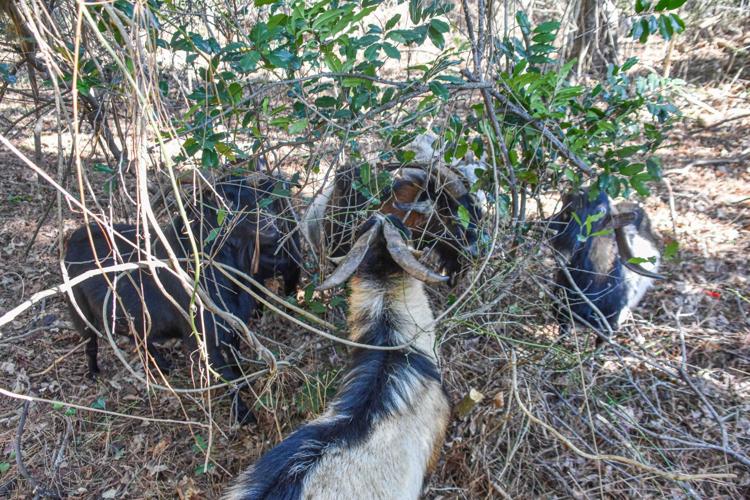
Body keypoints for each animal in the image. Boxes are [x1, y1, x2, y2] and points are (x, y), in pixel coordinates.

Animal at [63, 174, 301, 425]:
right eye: (227, 200)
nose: (270, 219)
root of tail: (72, 238)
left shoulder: (233, 326)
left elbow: (236, 362)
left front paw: (246, 384)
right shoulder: (204, 338)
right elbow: (227, 377)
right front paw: (244, 415)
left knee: (137, 337)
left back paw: (161, 364)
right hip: (82, 314)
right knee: (91, 344)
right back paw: (94, 372)